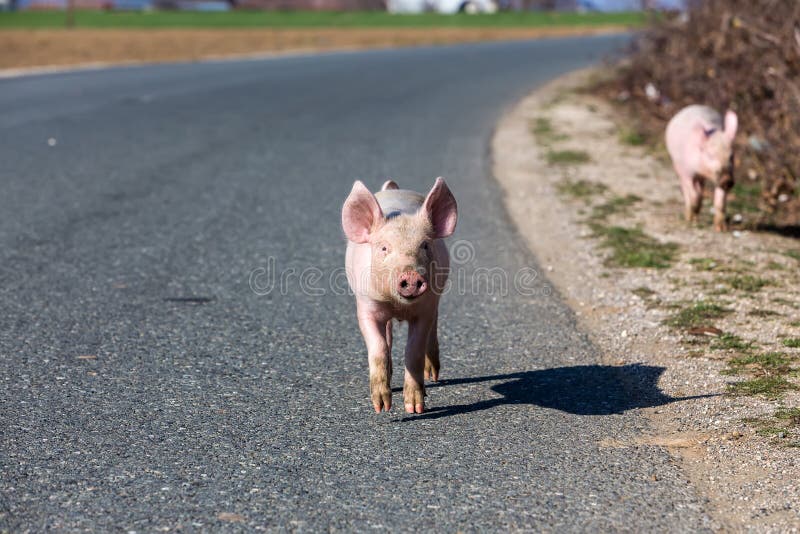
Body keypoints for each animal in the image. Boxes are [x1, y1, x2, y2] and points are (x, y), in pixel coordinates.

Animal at [342, 177, 457, 414]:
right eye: (384, 248)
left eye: (425, 245)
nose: (411, 275)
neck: (398, 305)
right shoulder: (366, 306)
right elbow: (378, 348)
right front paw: (381, 407)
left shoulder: (425, 308)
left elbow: (413, 350)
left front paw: (415, 409)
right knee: (387, 336)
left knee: (434, 326)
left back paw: (433, 376)